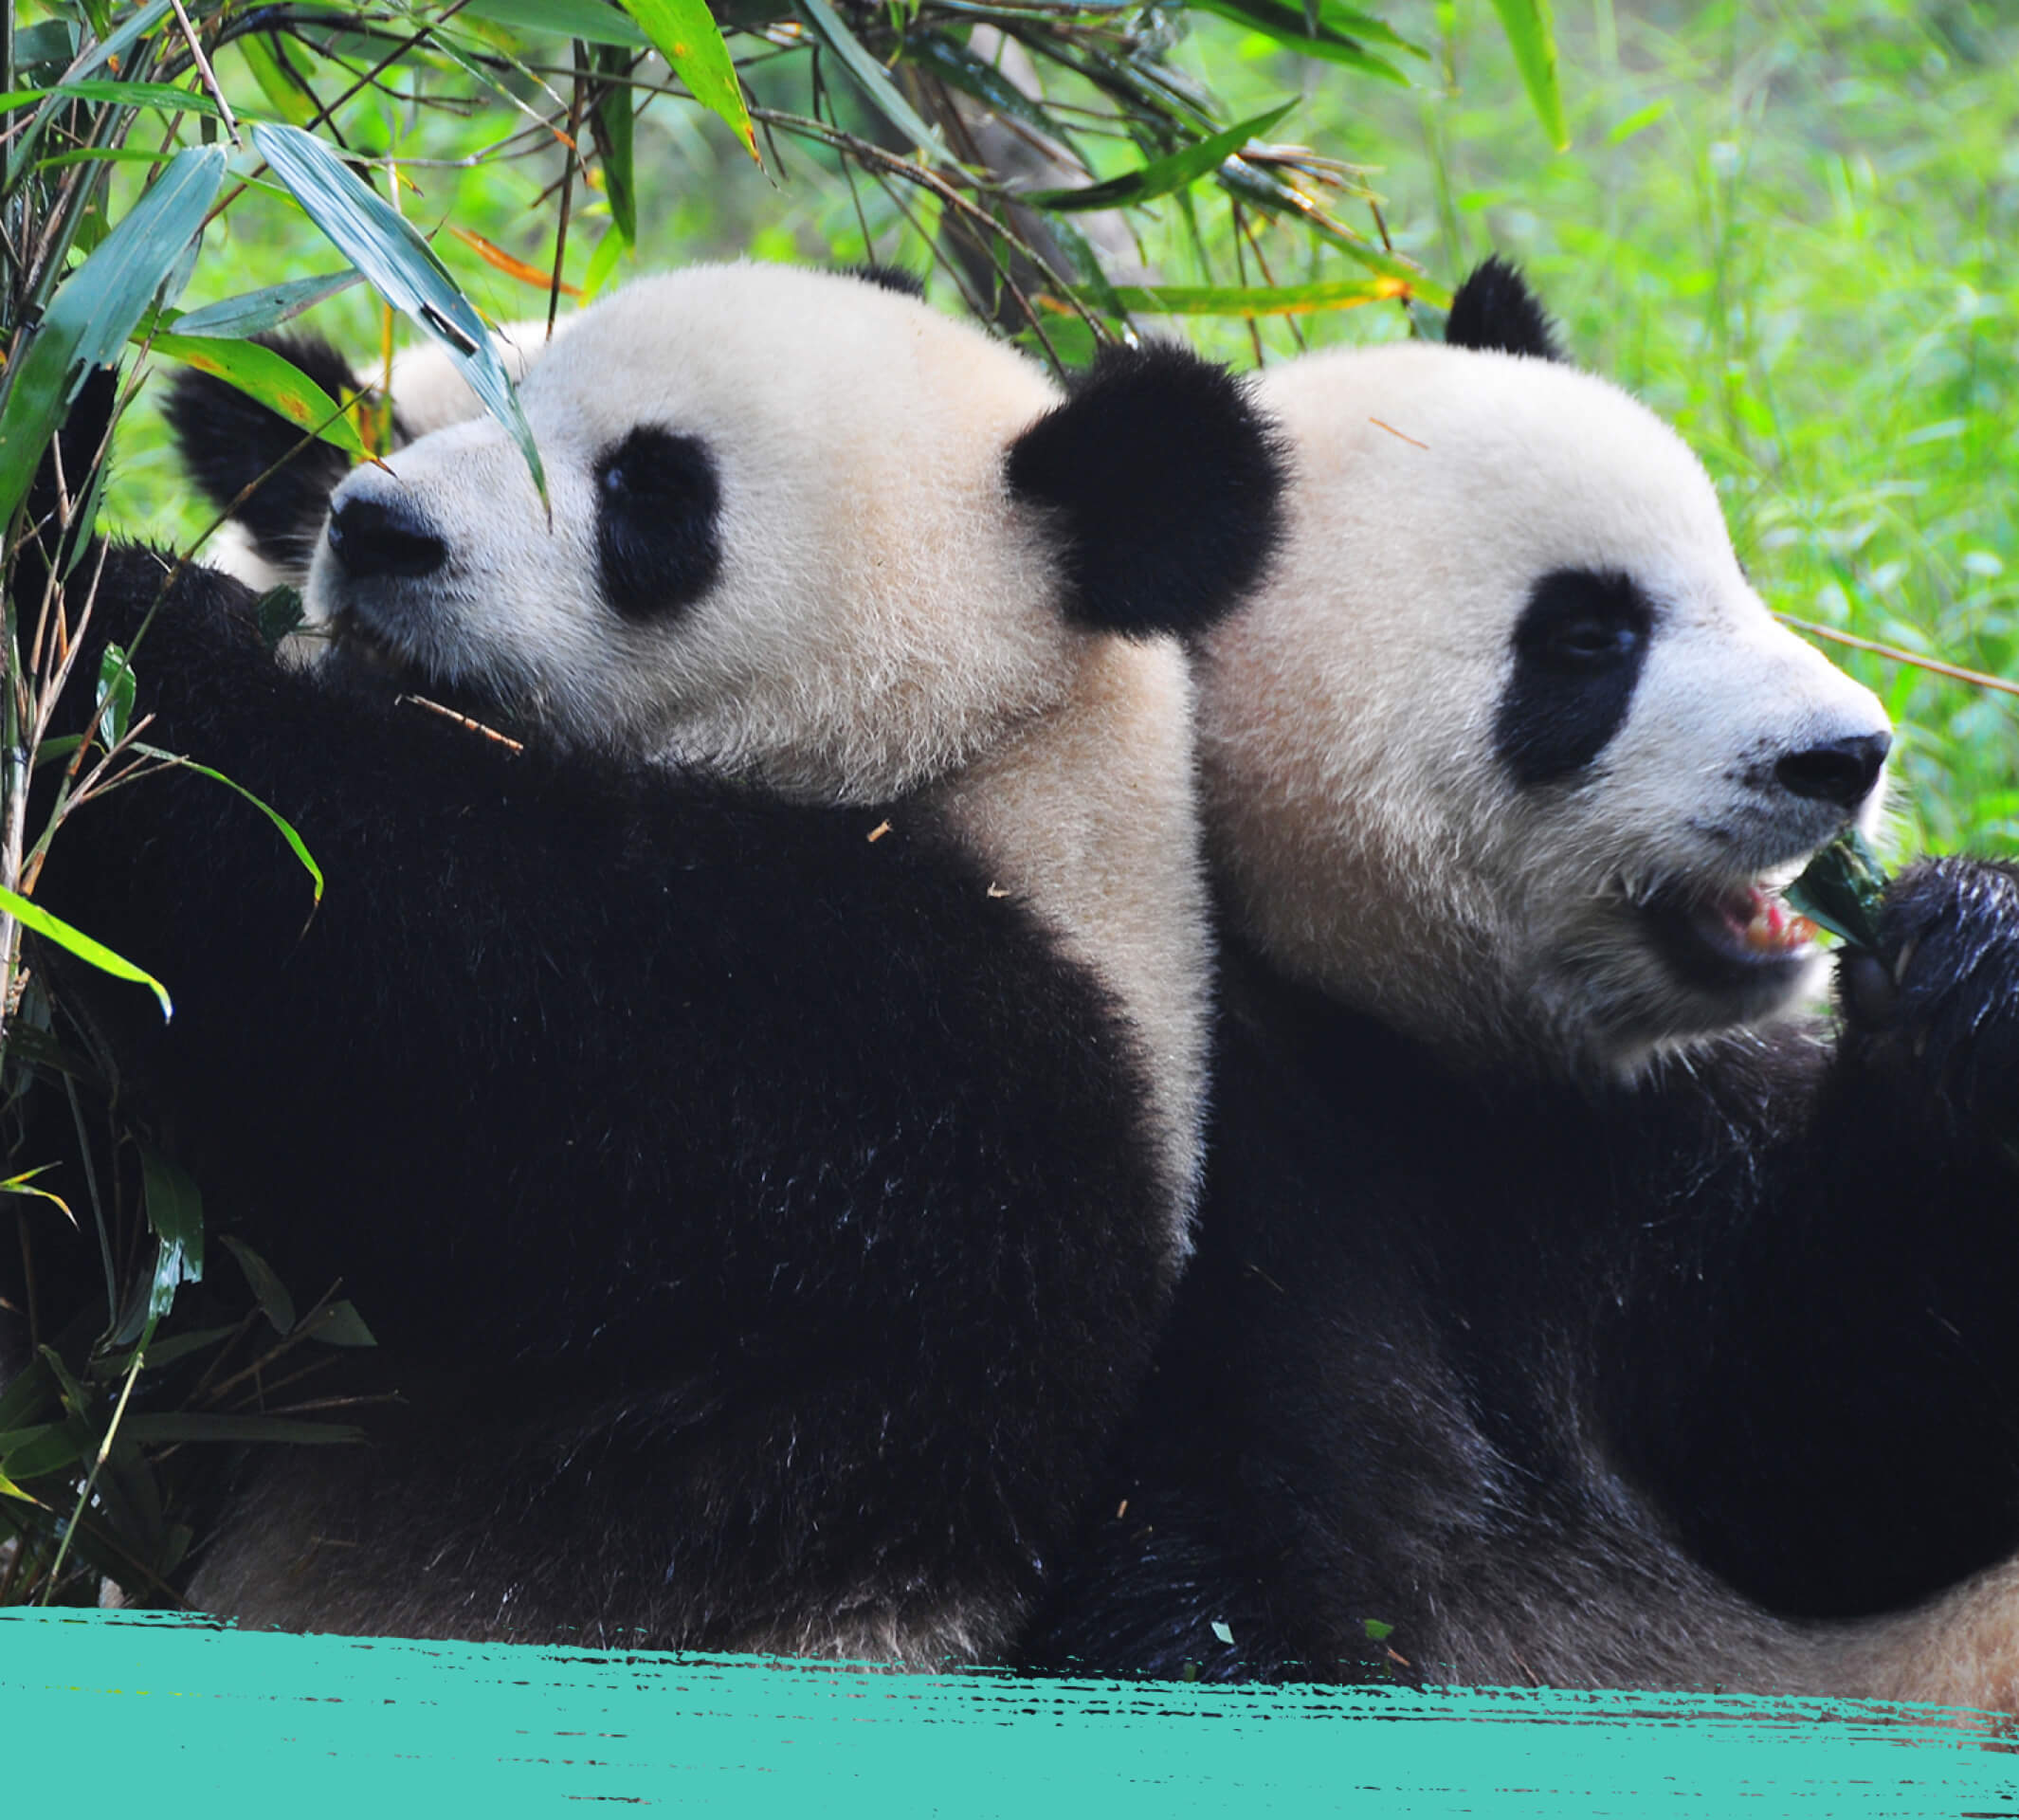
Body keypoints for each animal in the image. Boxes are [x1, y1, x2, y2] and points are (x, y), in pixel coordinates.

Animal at [10, 260, 1285, 1660]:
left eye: (654, 489)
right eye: (472, 402)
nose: (375, 527)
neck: (992, 751)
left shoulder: (938, 1083)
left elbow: (428, 993)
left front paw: (93, 582)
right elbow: (107, 1271)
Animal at [1021, 259, 2019, 1707]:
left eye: (1733, 572)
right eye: (1589, 639)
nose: (1847, 755)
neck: (1406, 1036)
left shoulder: (1651, 1136)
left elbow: (1818, 1460)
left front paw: (1969, 964)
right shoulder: (1175, 1126)